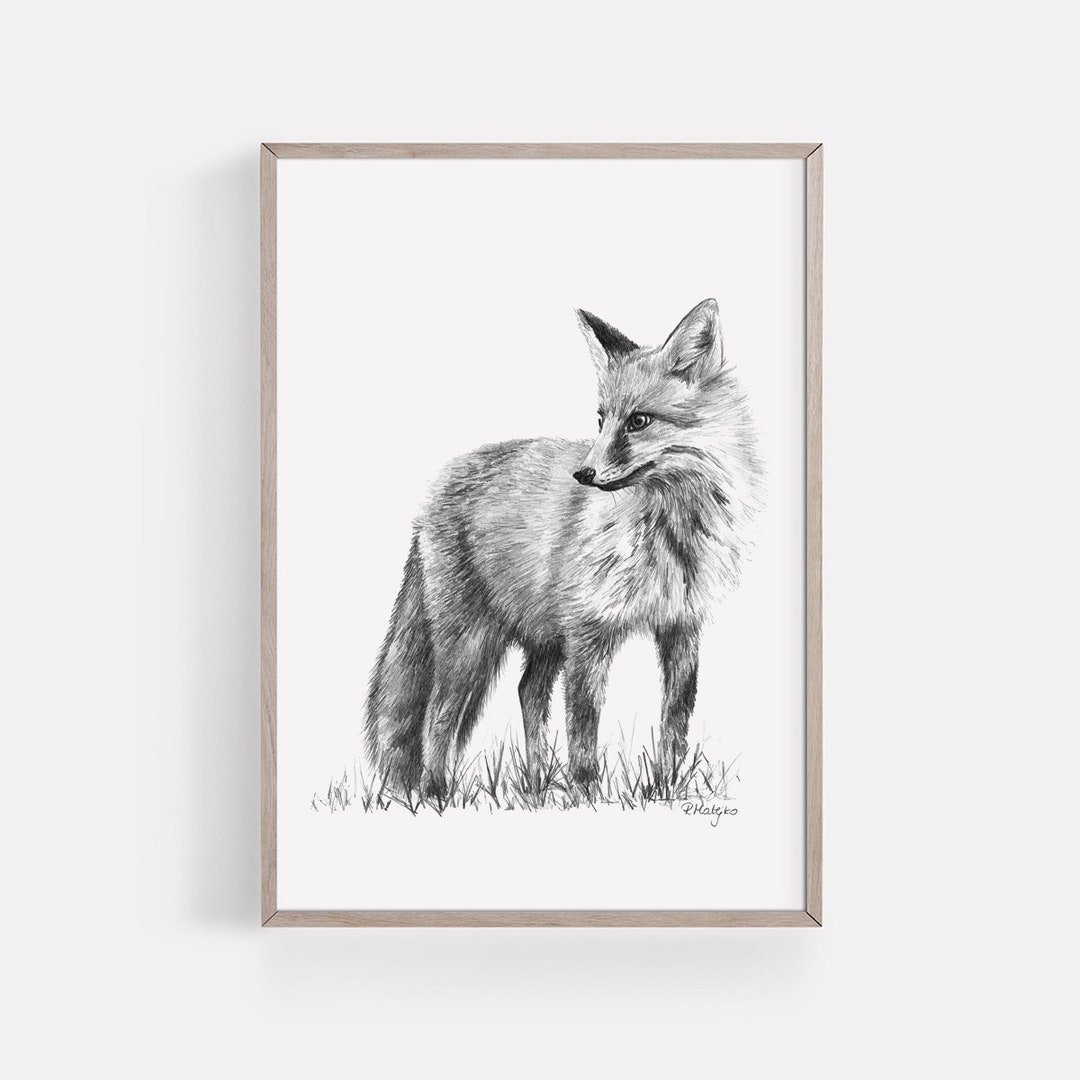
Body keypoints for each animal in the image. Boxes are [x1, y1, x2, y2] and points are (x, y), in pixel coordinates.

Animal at [366, 298, 763, 797]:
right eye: (601, 419)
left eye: (638, 421)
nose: (583, 475)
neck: (670, 536)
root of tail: (434, 487)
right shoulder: (588, 633)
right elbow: (584, 725)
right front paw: (588, 796)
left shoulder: (681, 625)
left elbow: (675, 719)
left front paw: (666, 788)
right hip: (472, 640)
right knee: (440, 713)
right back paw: (438, 793)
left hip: (544, 637)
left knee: (528, 692)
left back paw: (536, 786)